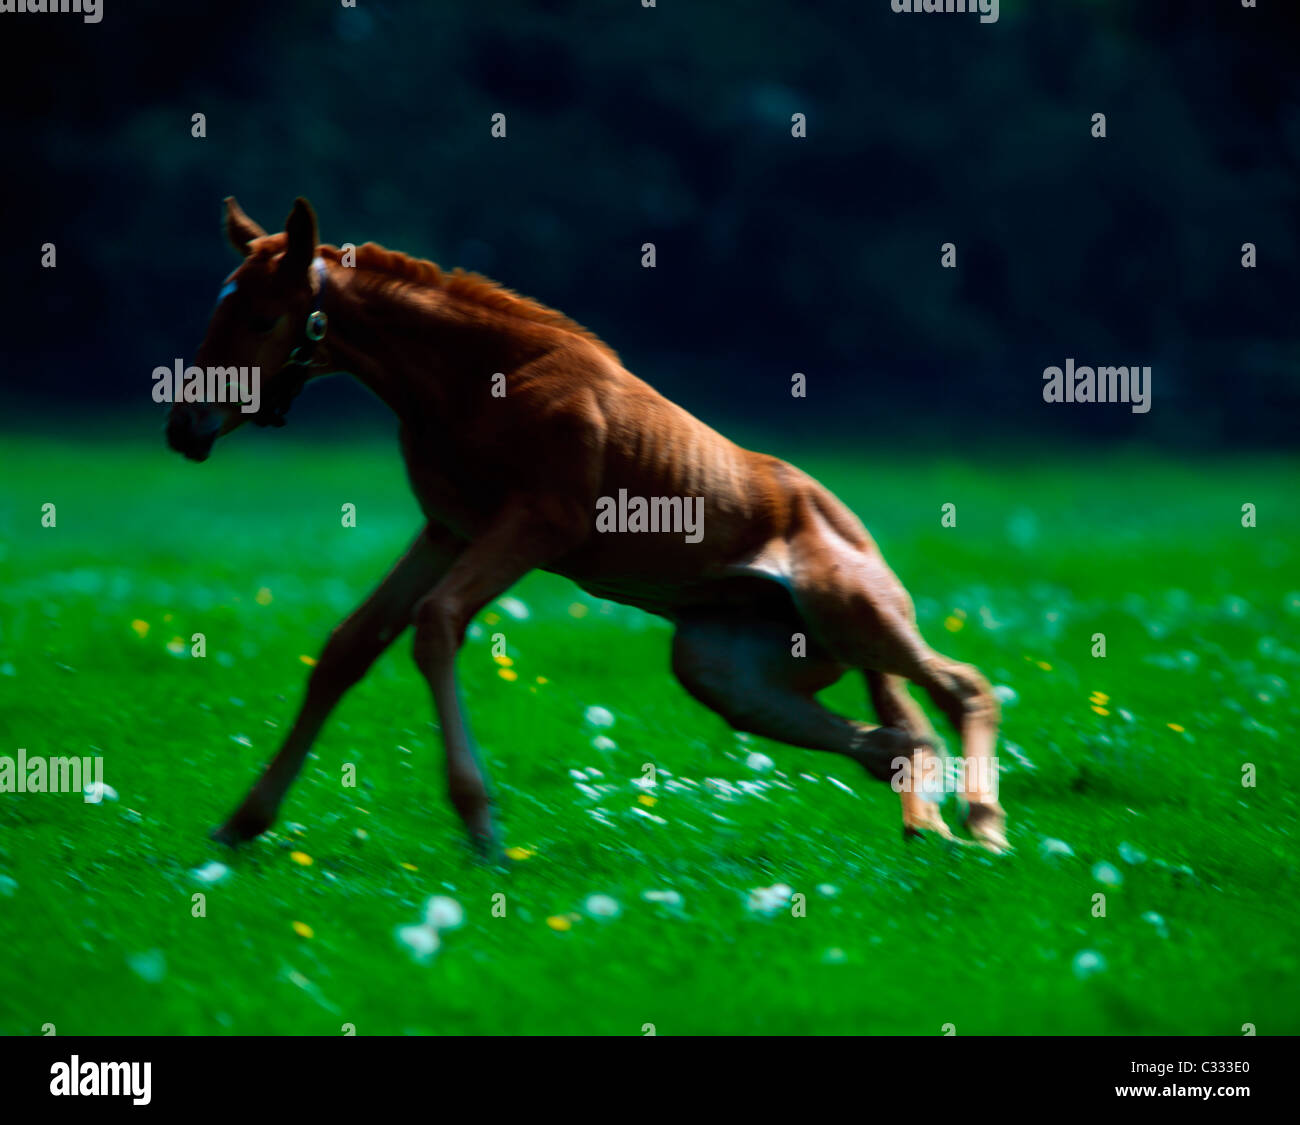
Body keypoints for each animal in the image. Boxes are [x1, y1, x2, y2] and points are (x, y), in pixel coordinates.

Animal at [167, 196, 1008, 859]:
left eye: (261, 316)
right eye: (216, 307)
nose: (184, 427)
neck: (480, 378)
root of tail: (852, 533)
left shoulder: (539, 524)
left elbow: (435, 625)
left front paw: (481, 826)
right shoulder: (446, 528)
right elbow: (348, 648)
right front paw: (242, 821)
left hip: (850, 610)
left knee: (962, 687)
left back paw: (983, 824)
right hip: (721, 667)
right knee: (894, 737)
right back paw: (927, 826)